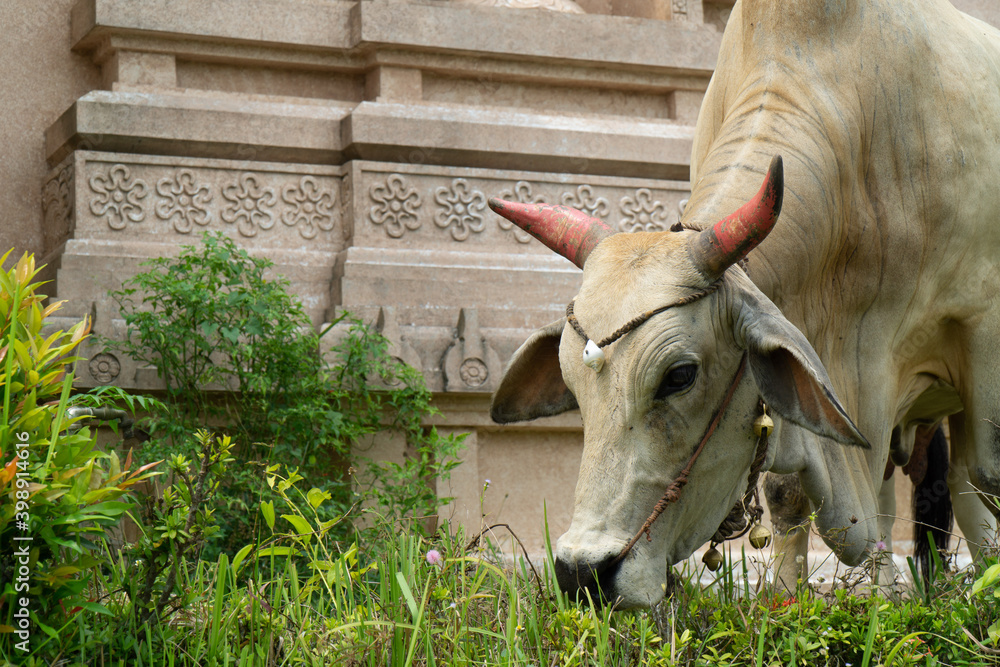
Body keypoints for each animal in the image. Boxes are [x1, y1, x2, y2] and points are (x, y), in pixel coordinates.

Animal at [487, 0, 1000, 608]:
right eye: (570, 380)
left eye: (680, 375)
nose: (581, 574)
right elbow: (788, 496)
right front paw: (786, 604)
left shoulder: (982, 331)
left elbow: (989, 477)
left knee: (965, 484)